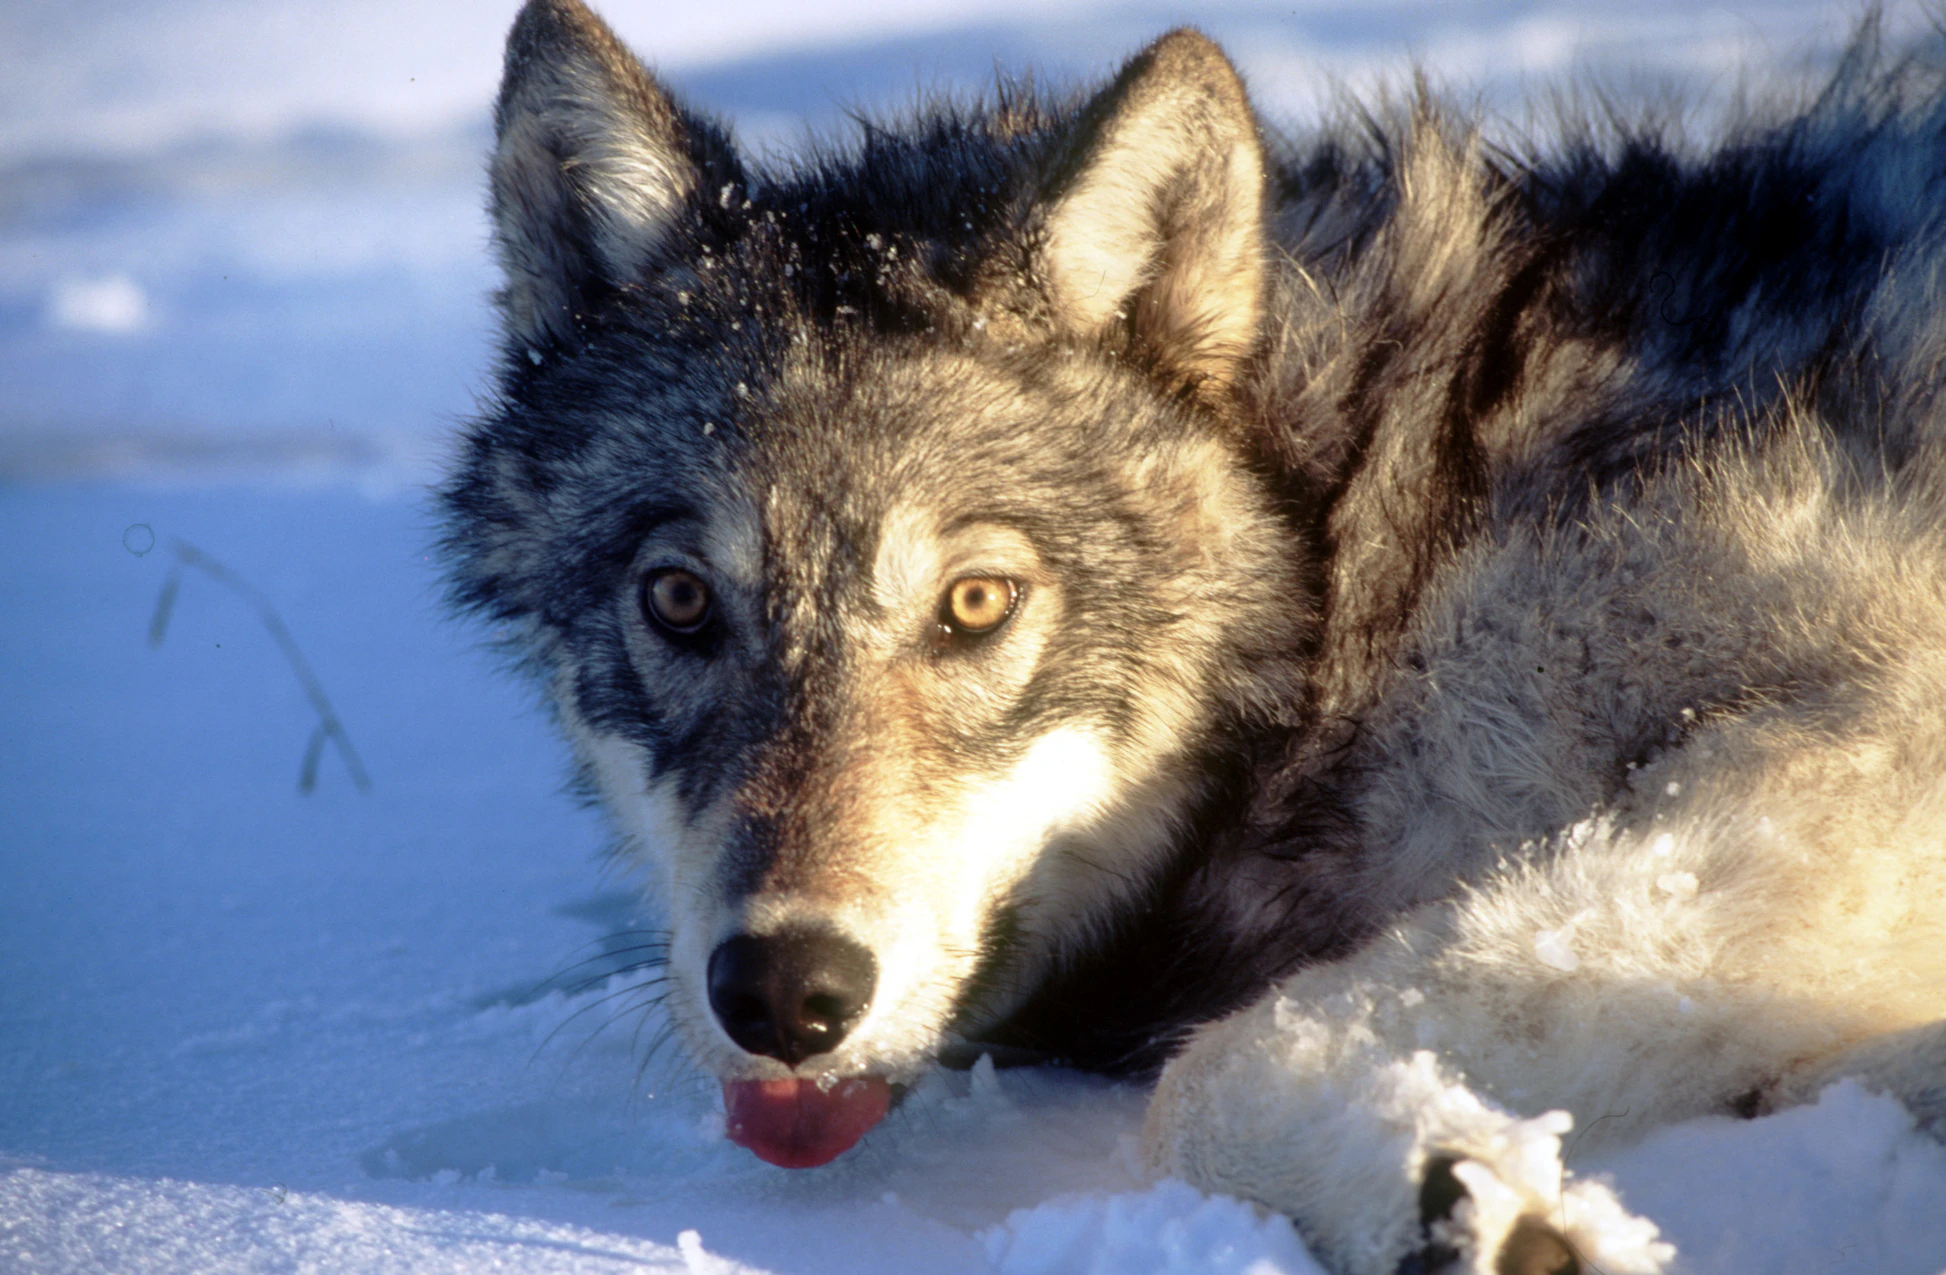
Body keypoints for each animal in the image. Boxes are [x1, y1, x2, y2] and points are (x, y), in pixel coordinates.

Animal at [441, 2, 1946, 1271]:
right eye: (679, 601)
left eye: (975, 602)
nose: (780, 992)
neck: (1379, 531)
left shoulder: (1869, 746)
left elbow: (1207, 1075)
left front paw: (1477, 1210)